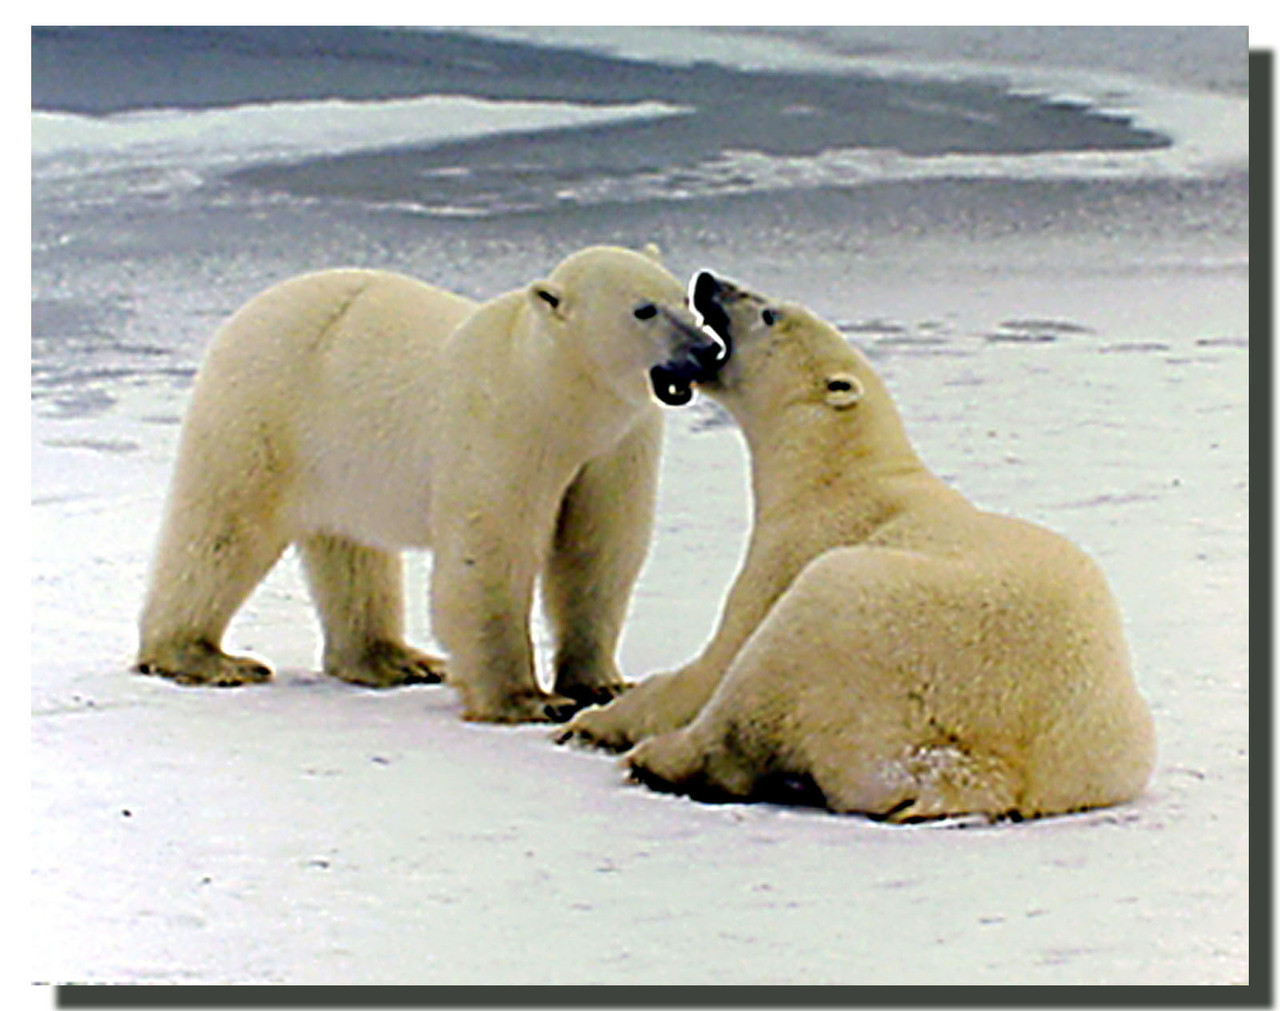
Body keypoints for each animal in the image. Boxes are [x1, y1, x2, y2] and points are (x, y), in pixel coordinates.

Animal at [135, 245, 725, 723]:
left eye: (685, 299)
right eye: (644, 309)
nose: (707, 349)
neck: (560, 390)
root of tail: (250, 309)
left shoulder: (618, 444)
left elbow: (599, 550)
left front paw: (601, 684)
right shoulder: (504, 426)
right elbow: (491, 554)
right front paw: (525, 700)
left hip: (339, 454)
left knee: (352, 552)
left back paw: (393, 659)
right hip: (264, 407)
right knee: (224, 528)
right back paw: (203, 657)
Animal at [560, 270, 1156, 821]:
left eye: (770, 313)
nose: (708, 280)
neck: (837, 470)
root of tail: (997, 767)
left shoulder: (799, 544)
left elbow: (716, 661)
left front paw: (595, 720)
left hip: (858, 626)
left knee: (758, 689)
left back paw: (652, 759)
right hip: (1111, 748)